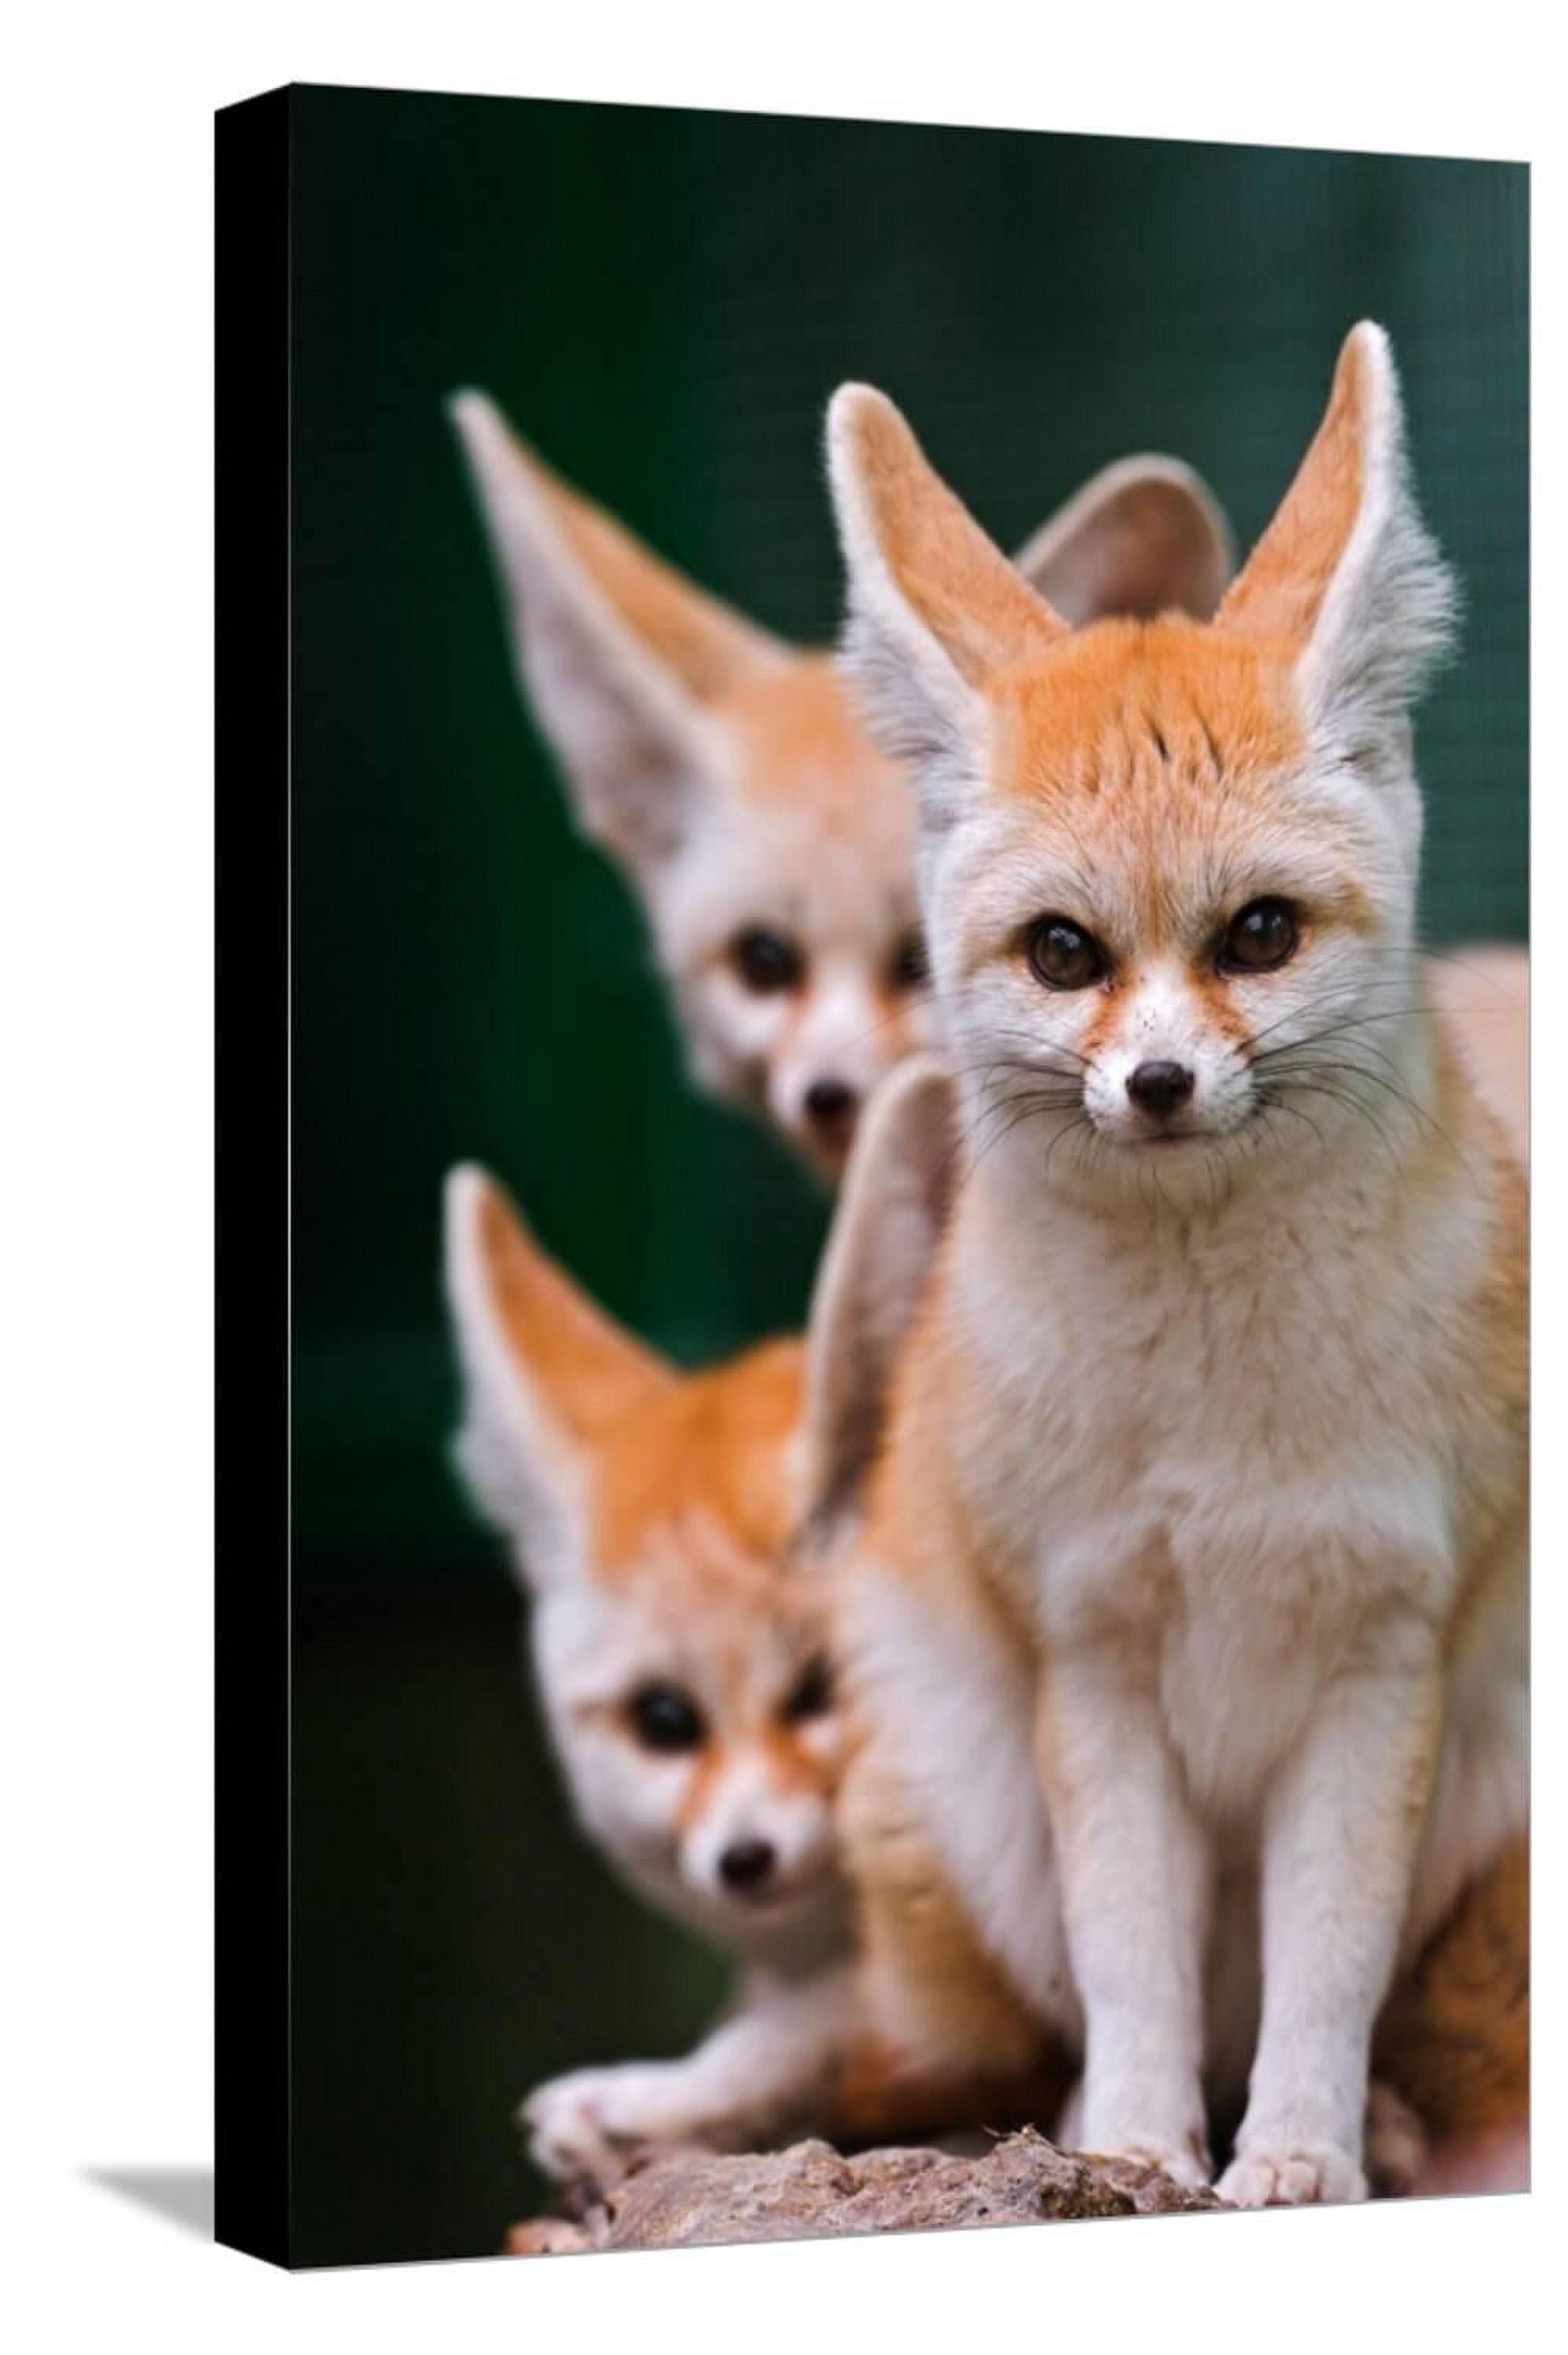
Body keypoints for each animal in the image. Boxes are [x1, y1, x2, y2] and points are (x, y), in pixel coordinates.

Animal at [817, 324, 1528, 2206]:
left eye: (1257, 935)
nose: (1153, 1085)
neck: (1216, 1395)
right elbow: (1130, 1958)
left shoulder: (1378, 1658)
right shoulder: (1095, 1663)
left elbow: (1327, 1965)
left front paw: (1298, 2157)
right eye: (1065, 955)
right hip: (967, 1780)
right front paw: (1137, 2152)